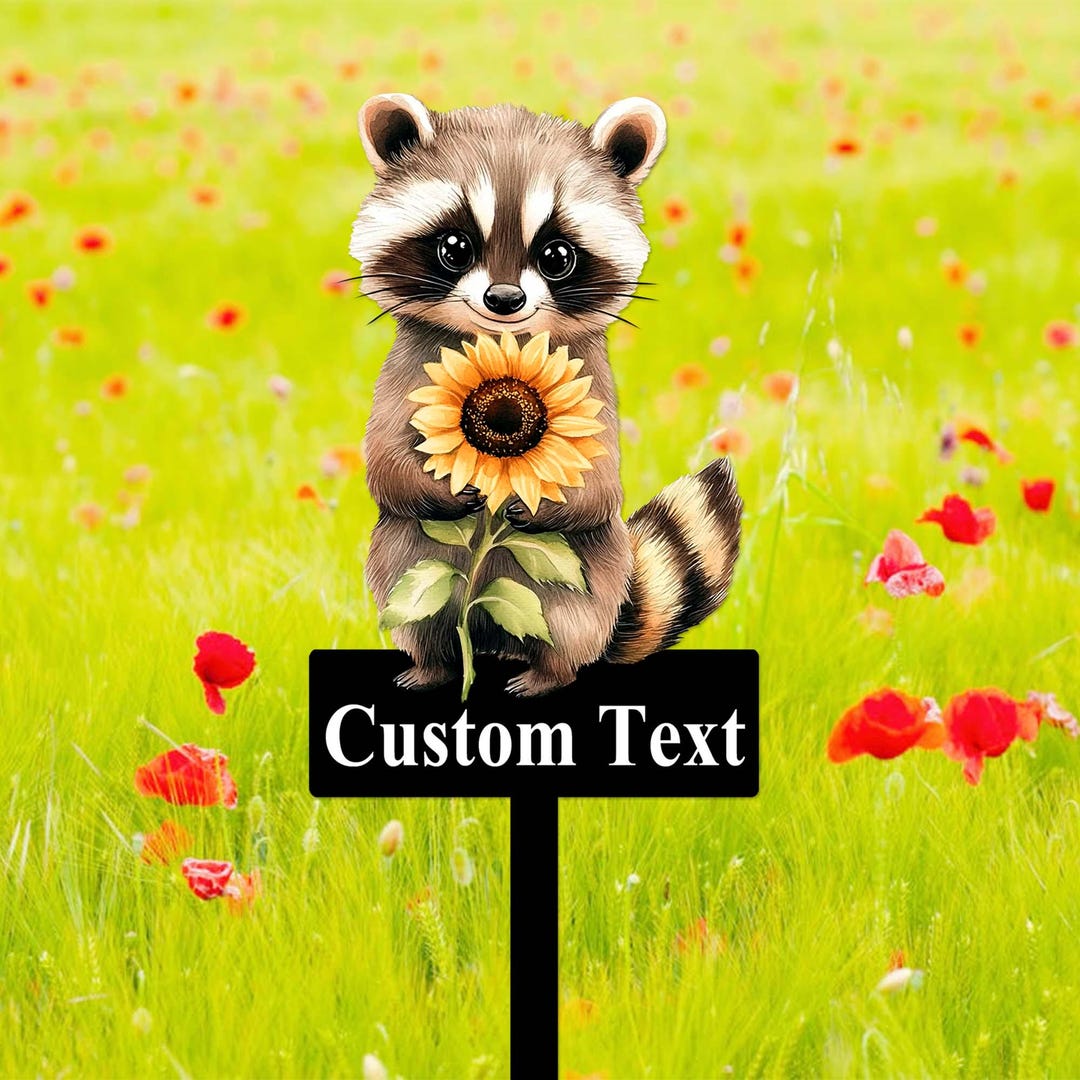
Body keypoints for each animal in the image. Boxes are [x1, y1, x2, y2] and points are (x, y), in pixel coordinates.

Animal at [350, 93, 742, 696]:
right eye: (454, 247)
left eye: (557, 255)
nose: (504, 298)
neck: (500, 343)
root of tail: (493, 638)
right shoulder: (409, 372)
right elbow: (386, 460)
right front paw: (441, 489)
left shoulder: (590, 384)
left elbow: (598, 485)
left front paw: (545, 503)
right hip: (409, 569)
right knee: (417, 611)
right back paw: (433, 665)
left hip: (588, 581)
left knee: (565, 623)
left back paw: (547, 673)